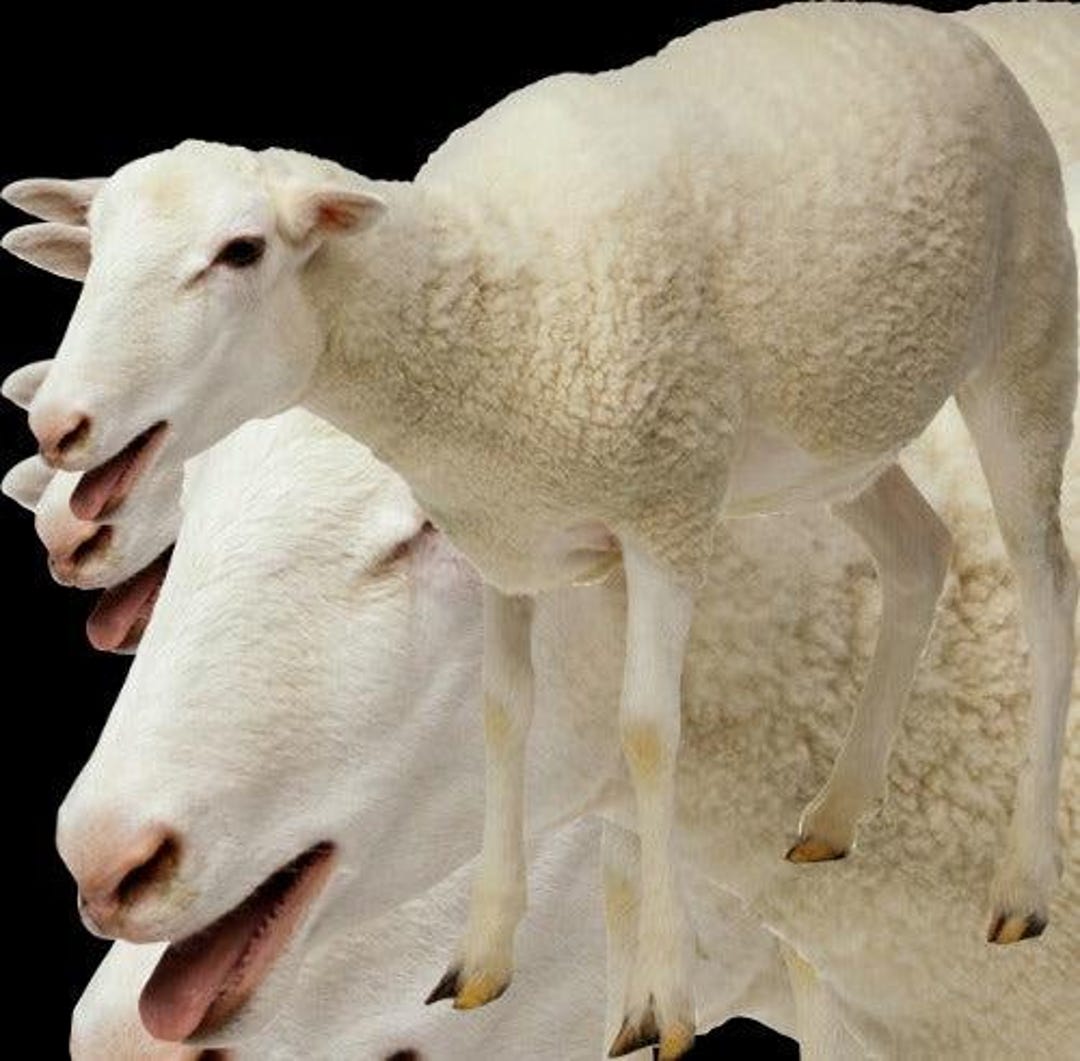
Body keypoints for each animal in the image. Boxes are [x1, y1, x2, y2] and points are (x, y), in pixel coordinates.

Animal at [4, 6, 1075, 1053]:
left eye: (241, 250)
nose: (105, 861)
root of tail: (937, 28)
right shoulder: (515, 551)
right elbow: (502, 714)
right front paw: (483, 955)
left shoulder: (667, 510)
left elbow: (648, 729)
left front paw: (659, 996)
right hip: (837, 435)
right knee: (919, 554)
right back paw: (840, 809)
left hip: (1020, 352)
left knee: (1045, 585)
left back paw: (1021, 880)